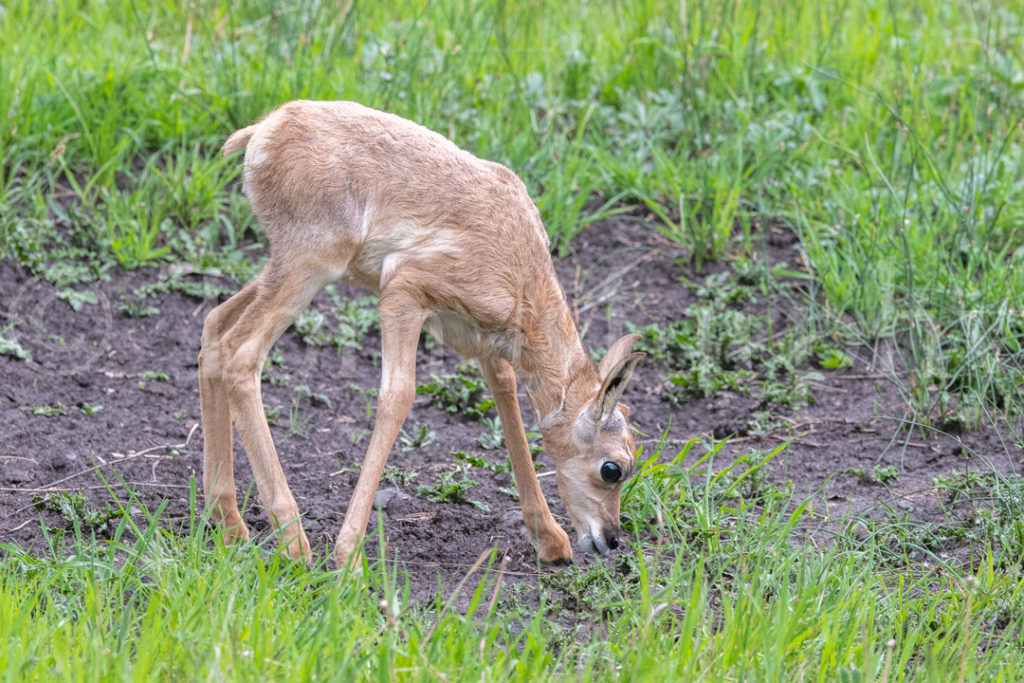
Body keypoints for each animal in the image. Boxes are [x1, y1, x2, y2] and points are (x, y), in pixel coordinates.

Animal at [199, 100, 644, 570]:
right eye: (612, 468)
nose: (611, 538)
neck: (522, 264)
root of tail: (268, 128)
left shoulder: (483, 342)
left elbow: (505, 393)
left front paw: (551, 540)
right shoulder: (403, 292)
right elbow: (398, 396)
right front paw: (348, 556)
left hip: (285, 272)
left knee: (215, 324)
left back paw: (231, 524)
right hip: (307, 271)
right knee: (240, 352)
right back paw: (294, 543)